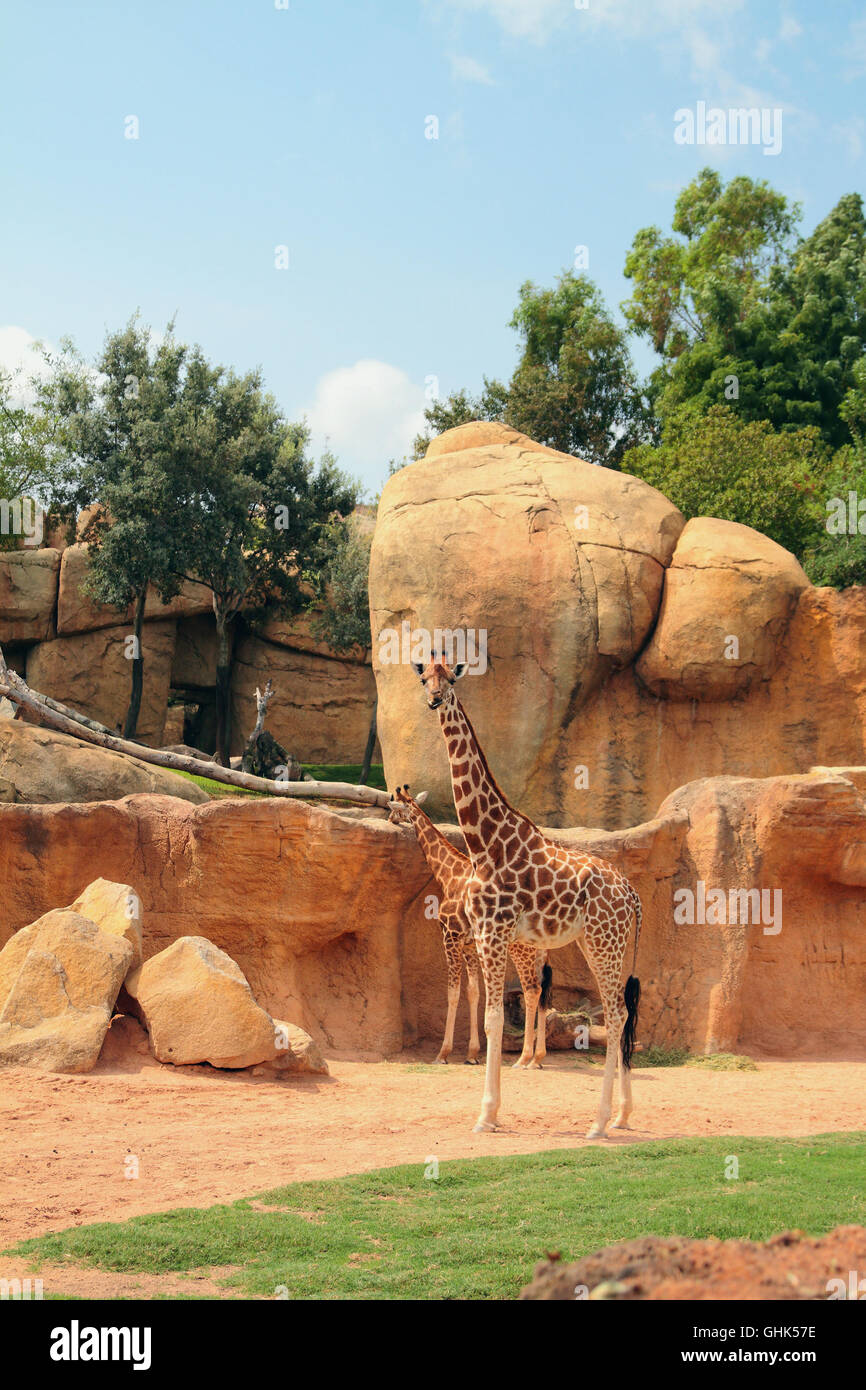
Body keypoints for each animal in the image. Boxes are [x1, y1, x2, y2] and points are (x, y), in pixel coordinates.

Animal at [387, 785, 552, 1067]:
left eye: (395, 806)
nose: (389, 820)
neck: (448, 875)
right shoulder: (469, 946)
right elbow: (473, 992)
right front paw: (473, 1053)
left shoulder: (450, 937)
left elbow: (452, 993)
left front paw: (443, 1053)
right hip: (539, 952)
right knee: (542, 992)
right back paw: (537, 1058)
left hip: (521, 950)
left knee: (532, 990)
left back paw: (524, 1057)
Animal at [410, 657, 642, 1139]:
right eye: (424, 677)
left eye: (452, 677)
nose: (435, 700)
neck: (484, 844)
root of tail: (632, 895)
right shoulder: (485, 935)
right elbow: (491, 1010)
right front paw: (493, 1109)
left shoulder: (494, 933)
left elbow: (494, 1016)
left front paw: (485, 1115)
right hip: (603, 944)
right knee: (621, 1012)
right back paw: (622, 1115)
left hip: (603, 944)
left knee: (615, 1015)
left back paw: (598, 1123)